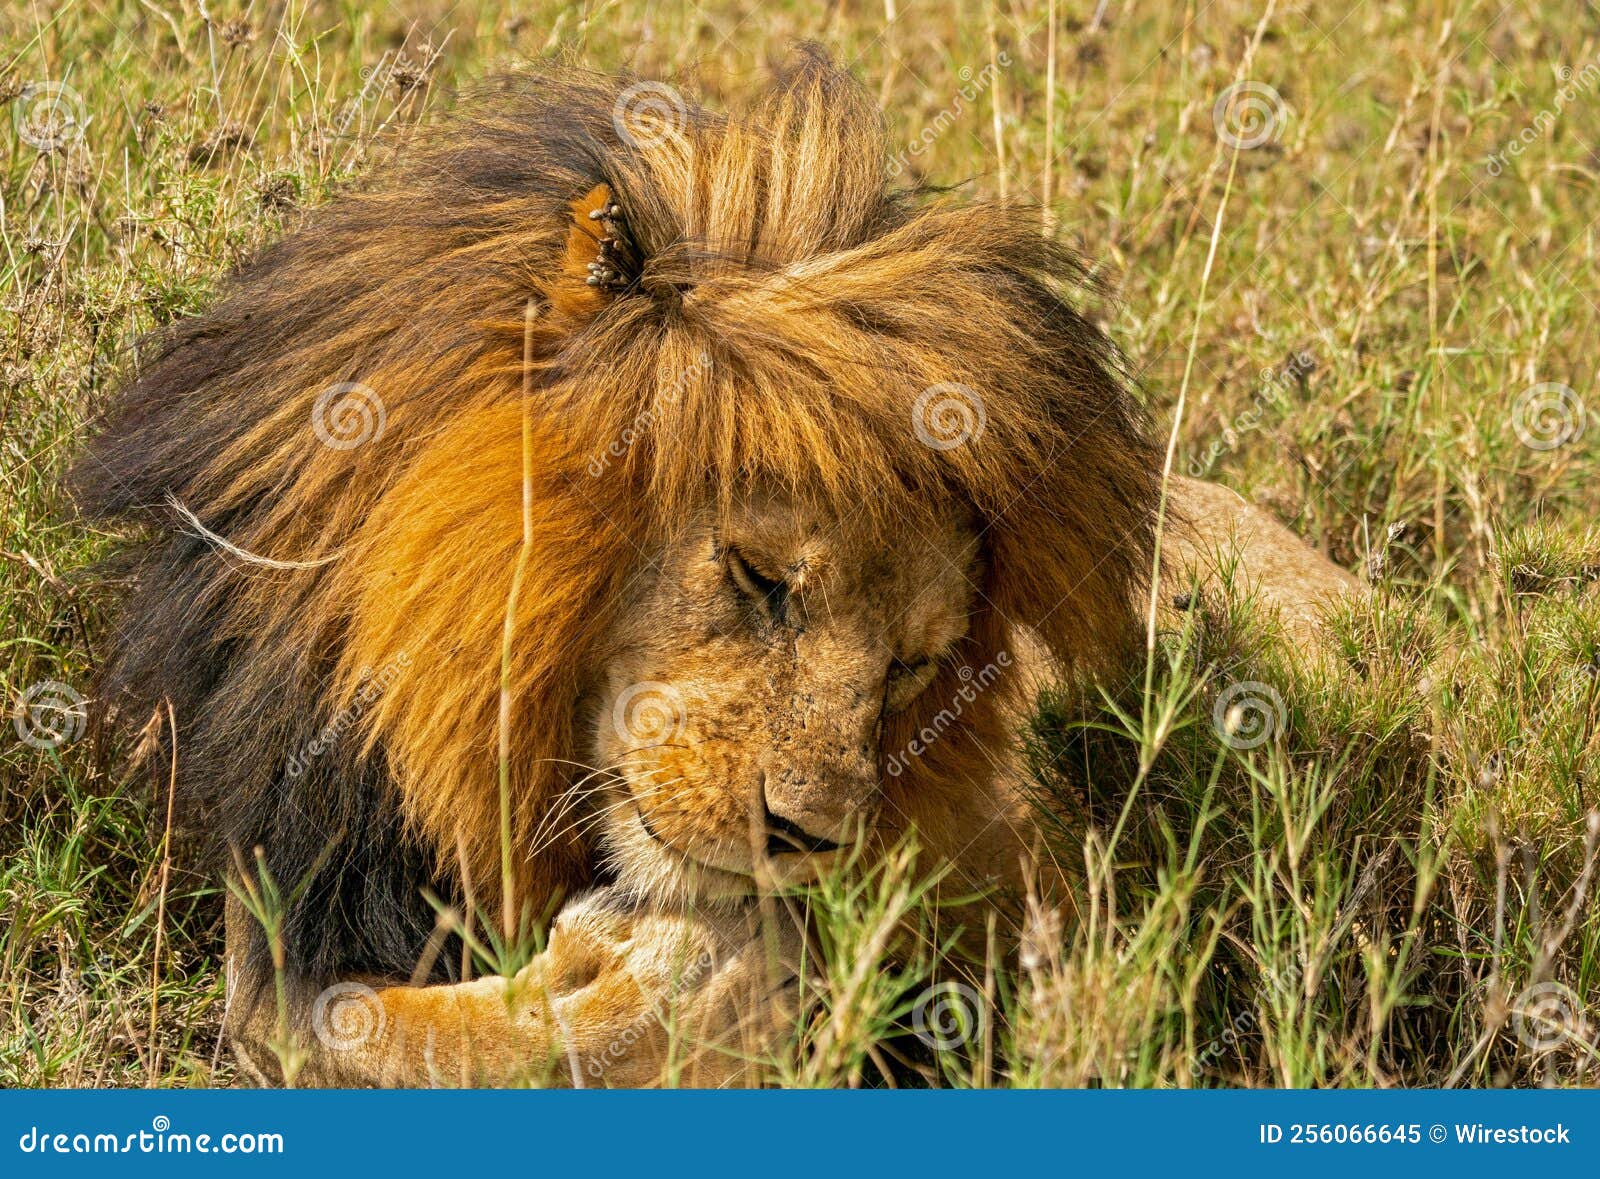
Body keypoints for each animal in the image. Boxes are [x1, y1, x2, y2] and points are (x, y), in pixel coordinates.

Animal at [71, 51, 1356, 1086]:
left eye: (912, 667)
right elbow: (411, 1035)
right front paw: (662, 977)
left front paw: (691, 964)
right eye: (758, 576)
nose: (804, 839)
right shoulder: (284, 915)